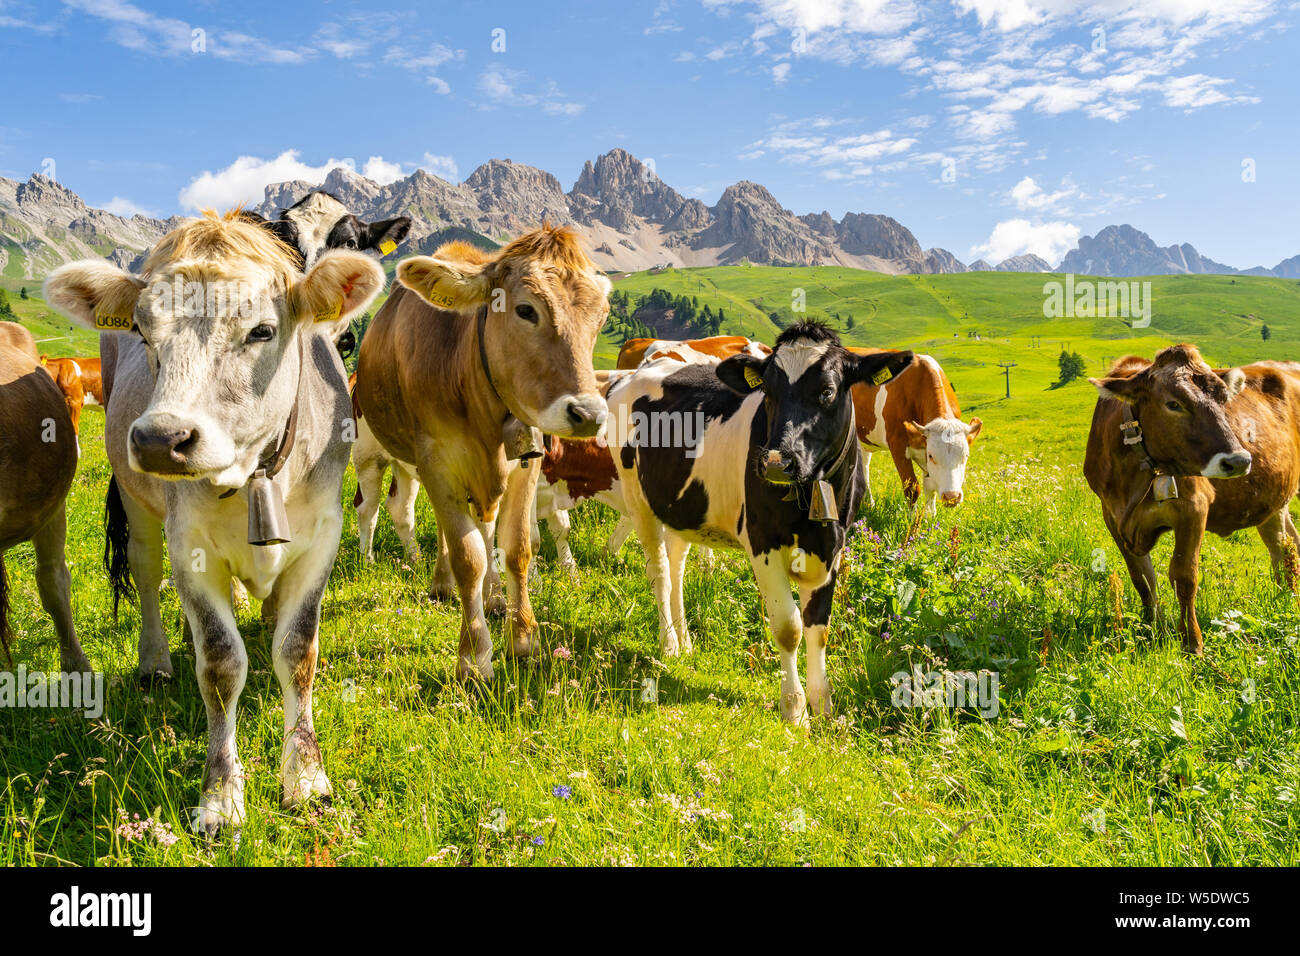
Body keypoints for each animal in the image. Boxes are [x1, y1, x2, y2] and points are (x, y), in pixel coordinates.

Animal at [44, 209, 385, 832]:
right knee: (146, 575)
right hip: (138, 502)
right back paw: (156, 659)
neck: (255, 475)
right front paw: (221, 797)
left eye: (262, 331)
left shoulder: (321, 539)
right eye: (144, 333)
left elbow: (297, 651)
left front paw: (305, 778)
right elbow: (221, 664)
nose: (160, 439)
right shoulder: (189, 546)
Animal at [352, 226, 610, 680]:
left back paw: (492, 599)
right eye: (525, 310)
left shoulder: (526, 463)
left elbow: (518, 547)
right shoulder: (437, 462)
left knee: (484, 528)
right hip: (375, 457)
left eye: (602, 316)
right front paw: (474, 657)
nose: (588, 414)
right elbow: (467, 556)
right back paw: (431, 581)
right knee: (385, 512)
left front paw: (523, 639)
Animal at [610, 321, 914, 723]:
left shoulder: (834, 546)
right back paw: (670, 644)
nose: (774, 462)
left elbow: (819, 626)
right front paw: (795, 710)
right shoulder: (762, 543)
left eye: (827, 391)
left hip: (681, 505)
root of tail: (640, 372)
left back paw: (686, 639)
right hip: (638, 497)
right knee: (659, 572)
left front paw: (823, 704)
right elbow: (789, 628)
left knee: (676, 565)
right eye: (767, 391)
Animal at [847, 348, 981, 511]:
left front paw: (930, 516)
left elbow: (929, 487)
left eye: (966, 456)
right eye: (932, 456)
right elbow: (912, 487)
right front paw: (913, 518)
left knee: (864, 466)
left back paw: (869, 503)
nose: (951, 497)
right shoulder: (897, 445)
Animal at [1084, 345, 1300, 655]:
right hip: (1273, 503)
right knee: (1284, 548)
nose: (1239, 460)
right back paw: (1287, 599)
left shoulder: (1194, 508)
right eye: (1173, 404)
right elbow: (1142, 578)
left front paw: (1192, 643)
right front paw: (1153, 629)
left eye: (1223, 399)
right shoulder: (1111, 515)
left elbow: (1184, 576)